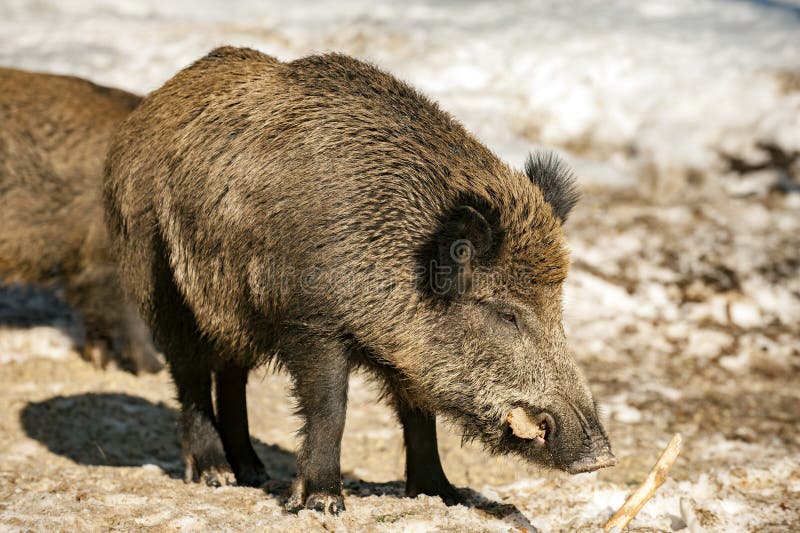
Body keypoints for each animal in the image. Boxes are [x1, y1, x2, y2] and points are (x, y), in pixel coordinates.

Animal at [104, 46, 615, 514]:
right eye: (506, 314)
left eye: (558, 309)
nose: (601, 457)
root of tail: (147, 109)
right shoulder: (312, 323)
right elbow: (331, 408)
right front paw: (323, 503)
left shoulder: (404, 352)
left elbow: (419, 414)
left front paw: (443, 494)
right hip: (159, 282)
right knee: (188, 372)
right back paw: (216, 476)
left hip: (234, 312)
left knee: (232, 374)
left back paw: (253, 472)